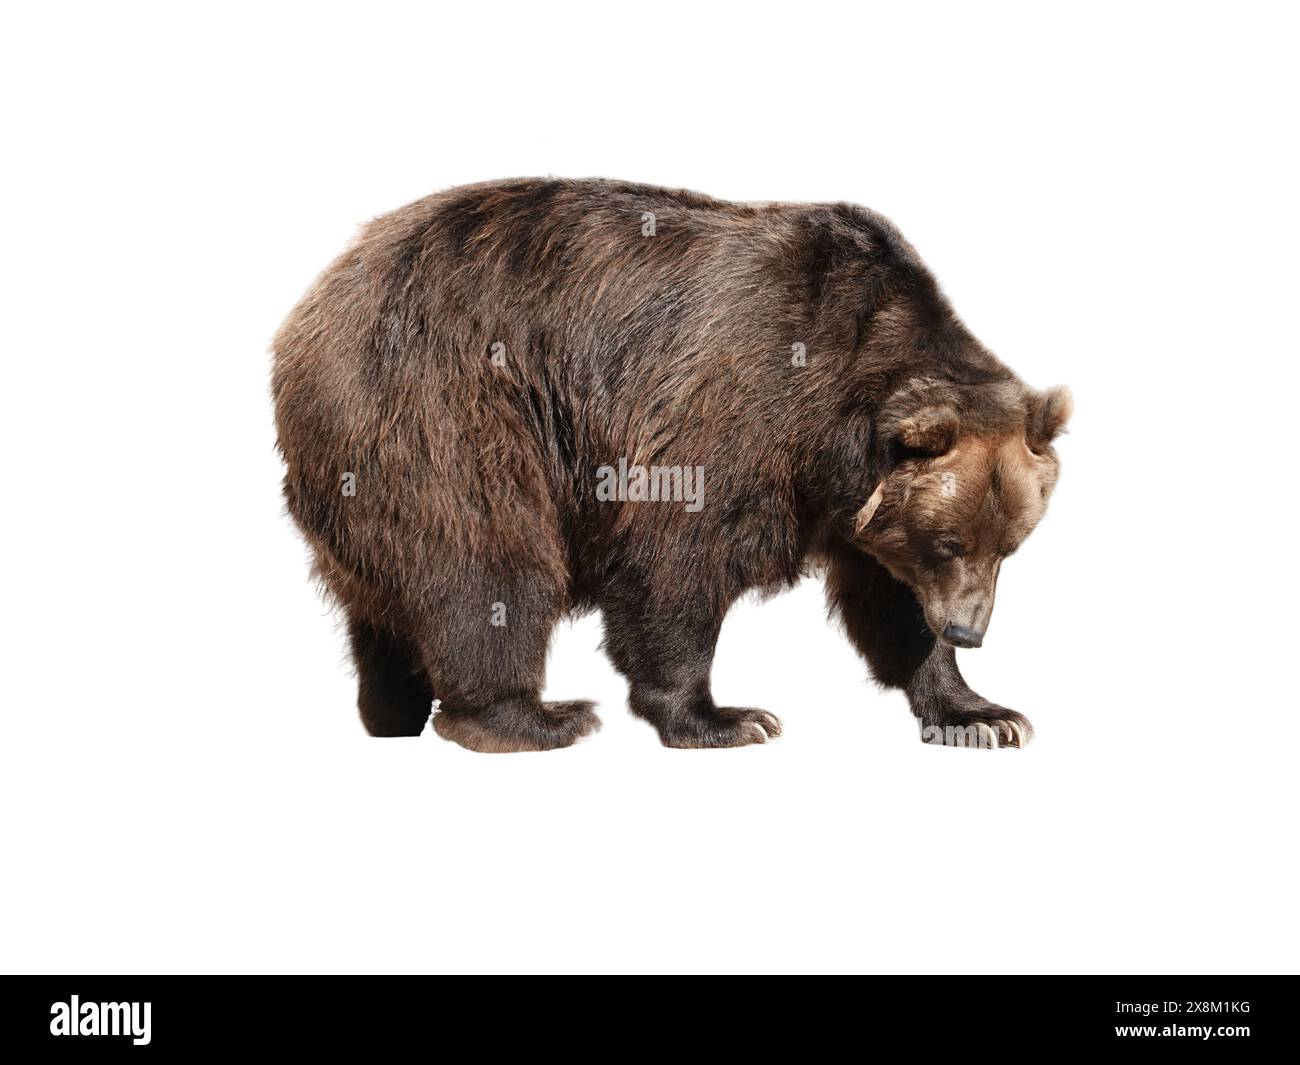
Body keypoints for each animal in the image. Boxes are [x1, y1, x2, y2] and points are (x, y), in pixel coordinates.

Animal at [272, 178, 1071, 752]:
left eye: (1008, 546)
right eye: (950, 541)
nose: (969, 631)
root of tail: (315, 299)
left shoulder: (855, 500)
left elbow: (890, 599)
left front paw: (983, 714)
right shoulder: (733, 408)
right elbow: (674, 560)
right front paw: (727, 718)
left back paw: (390, 710)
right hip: (440, 400)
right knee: (488, 555)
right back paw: (532, 718)